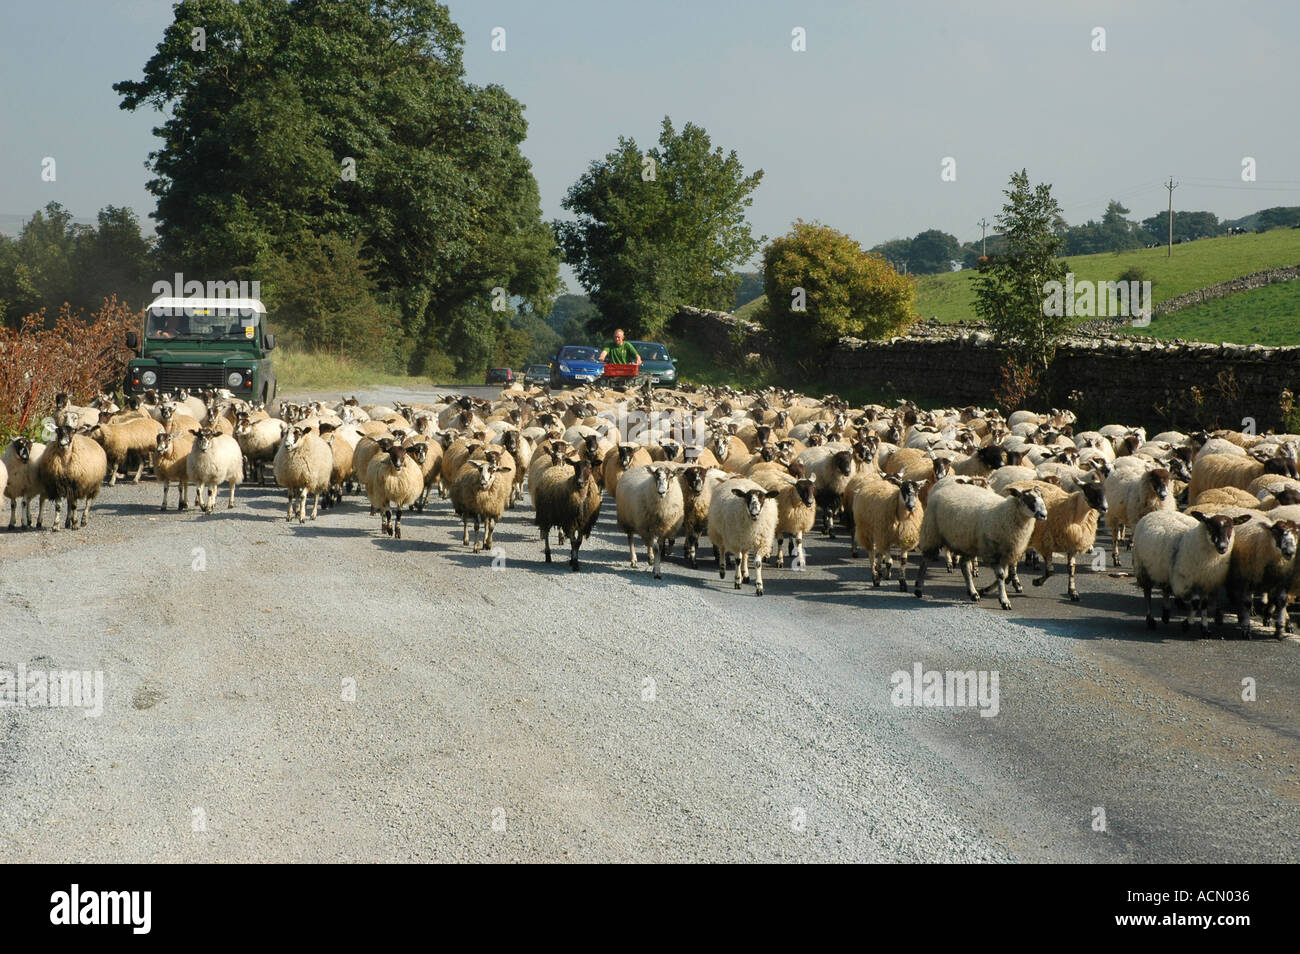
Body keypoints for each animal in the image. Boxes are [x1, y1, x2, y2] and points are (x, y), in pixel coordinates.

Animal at [915, 482, 1048, 609]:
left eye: (1041, 496)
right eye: (1028, 499)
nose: (1044, 515)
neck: (1005, 513)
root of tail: (943, 487)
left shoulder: (1006, 553)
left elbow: (1004, 575)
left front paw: (985, 590)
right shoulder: (991, 552)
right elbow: (1001, 575)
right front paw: (1004, 601)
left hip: (968, 543)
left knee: (964, 565)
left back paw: (973, 593)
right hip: (932, 533)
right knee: (925, 561)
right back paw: (918, 589)